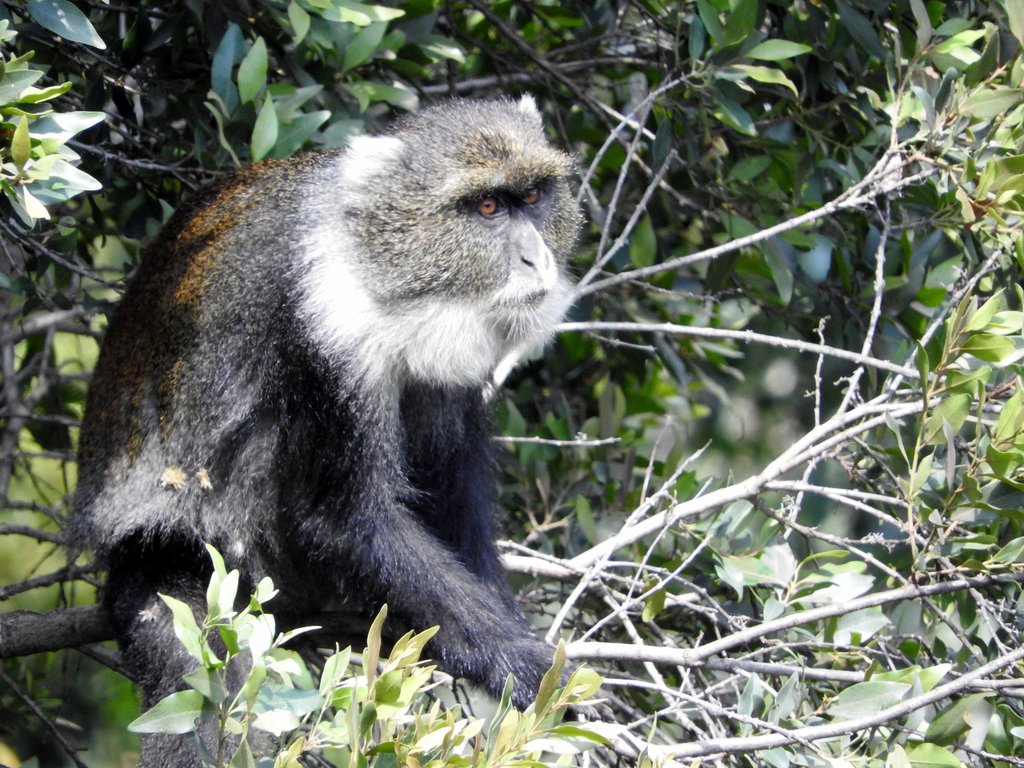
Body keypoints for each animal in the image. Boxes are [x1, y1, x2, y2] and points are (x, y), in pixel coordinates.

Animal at [71, 96, 585, 765]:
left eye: (533, 196)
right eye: (488, 207)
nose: (534, 257)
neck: (380, 270)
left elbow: (454, 503)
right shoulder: (322, 327)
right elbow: (345, 520)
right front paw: (522, 664)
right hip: (187, 576)